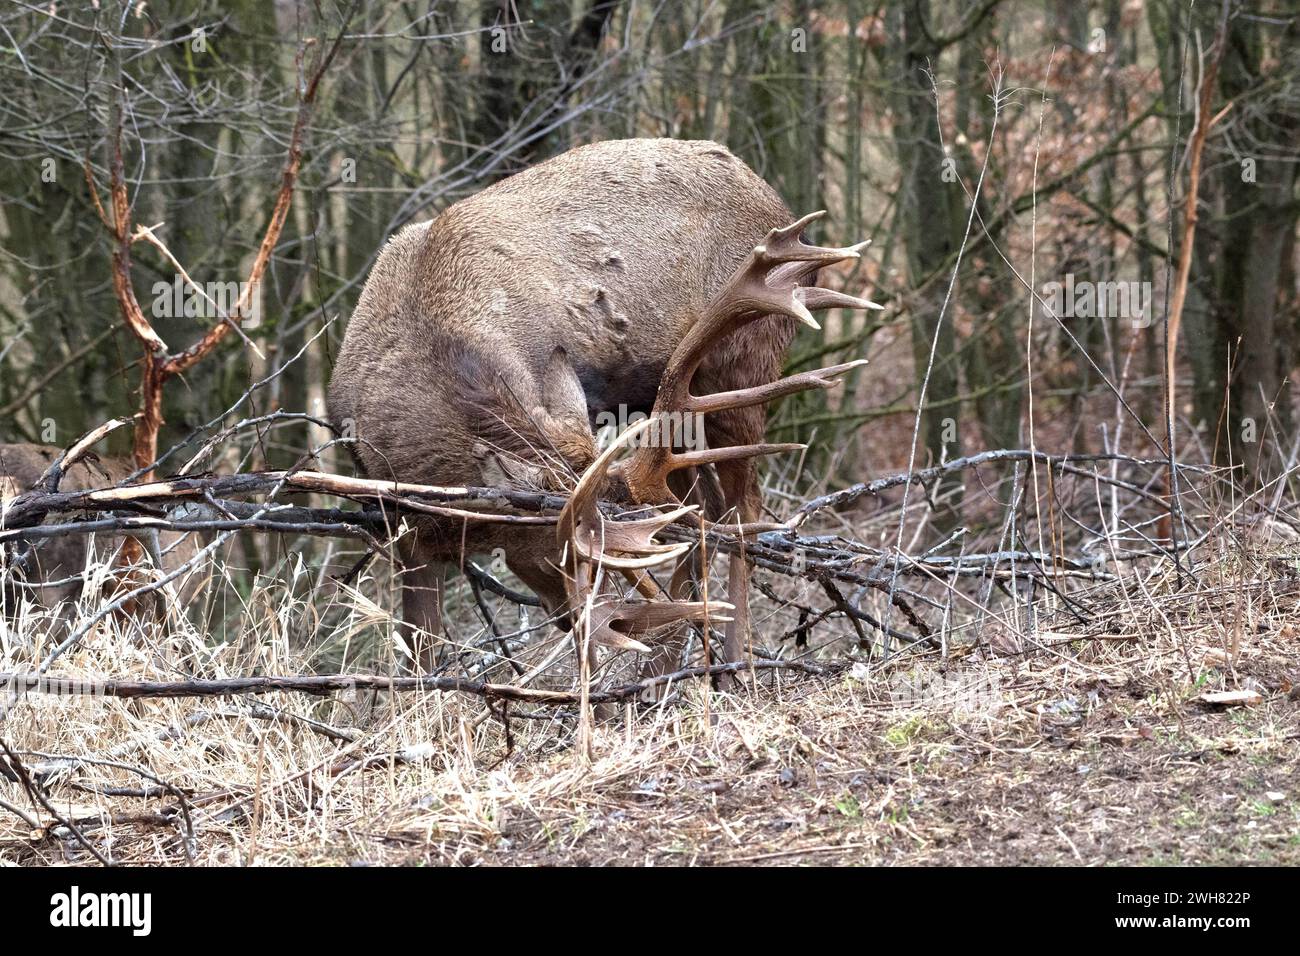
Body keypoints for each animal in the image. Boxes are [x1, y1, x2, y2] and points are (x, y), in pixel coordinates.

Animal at [328, 138, 877, 680]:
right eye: (561, 555)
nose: (596, 615)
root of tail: (774, 199)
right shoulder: (402, 527)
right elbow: (418, 650)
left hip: (743, 360)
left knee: (744, 509)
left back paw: (733, 663)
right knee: (700, 506)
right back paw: (670, 660)